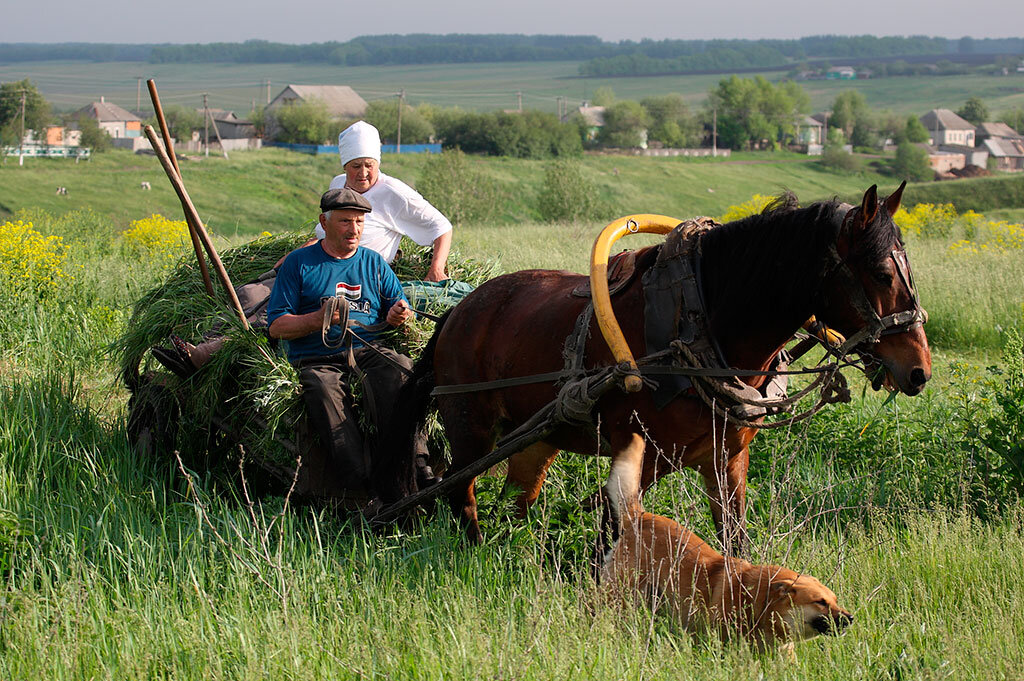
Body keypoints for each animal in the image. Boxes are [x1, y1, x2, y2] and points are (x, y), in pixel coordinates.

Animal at [376, 184, 929, 548]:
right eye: (882, 273)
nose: (919, 370)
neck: (699, 321)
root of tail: (458, 310)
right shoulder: (642, 456)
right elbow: (610, 529)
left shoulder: (727, 458)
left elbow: (733, 536)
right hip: (469, 423)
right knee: (460, 490)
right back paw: (471, 550)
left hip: (534, 436)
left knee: (518, 494)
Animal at [598, 432, 856, 651]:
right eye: (820, 602)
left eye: (835, 600)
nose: (851, 618)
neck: (760, 601)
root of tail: (639, 516)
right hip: (618, 597)